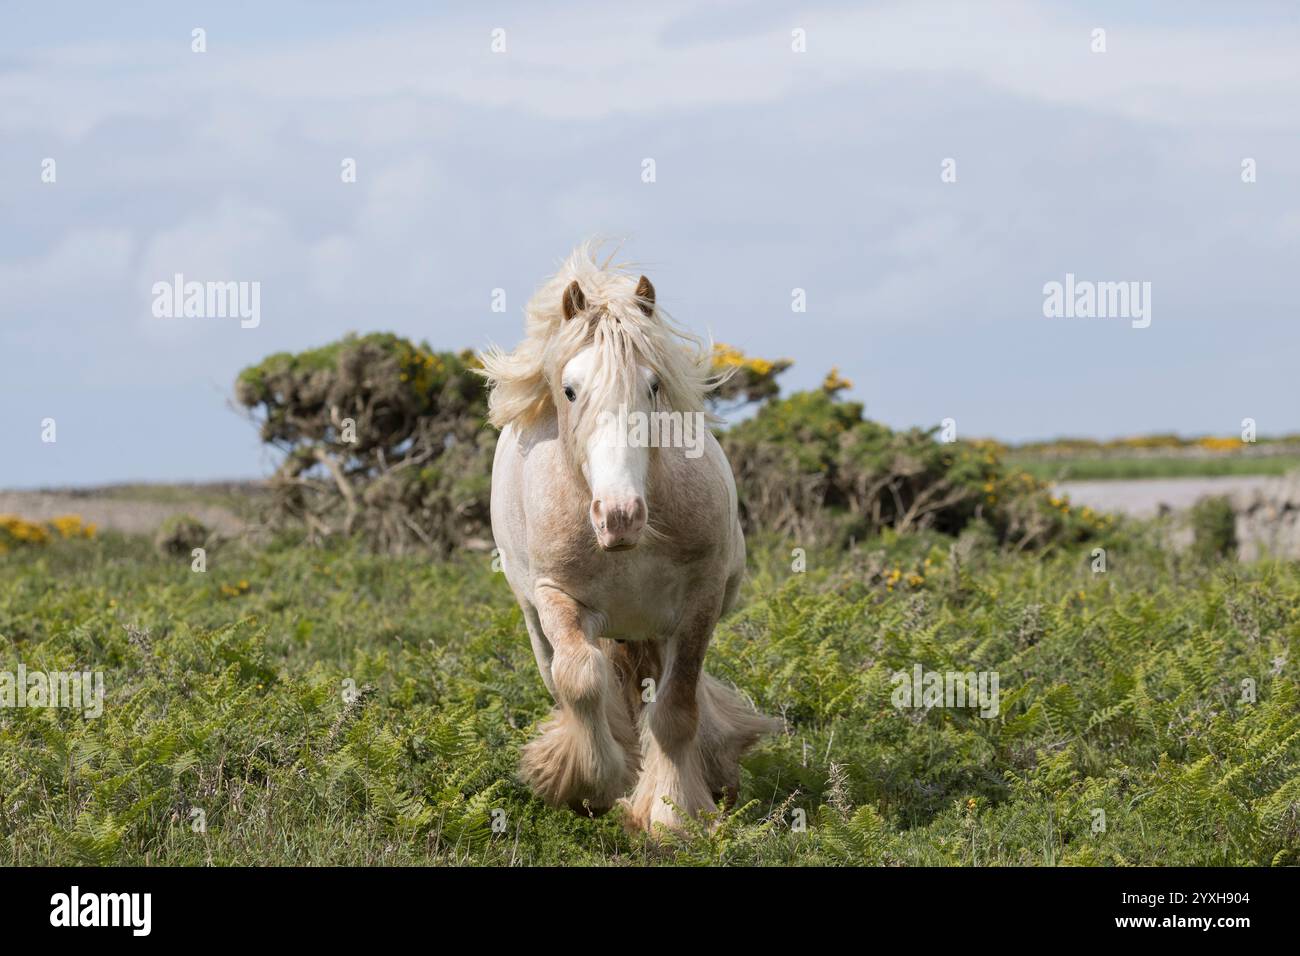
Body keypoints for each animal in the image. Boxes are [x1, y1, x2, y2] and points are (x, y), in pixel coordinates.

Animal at [477, 244, 777, 834]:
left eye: (653, 385)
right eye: (570, 390)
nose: (620, 516)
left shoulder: (699, 600)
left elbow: (677, 707)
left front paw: (670, 814)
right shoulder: (557, 599)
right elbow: (580, 682)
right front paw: (595, 783)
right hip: (542, 622)